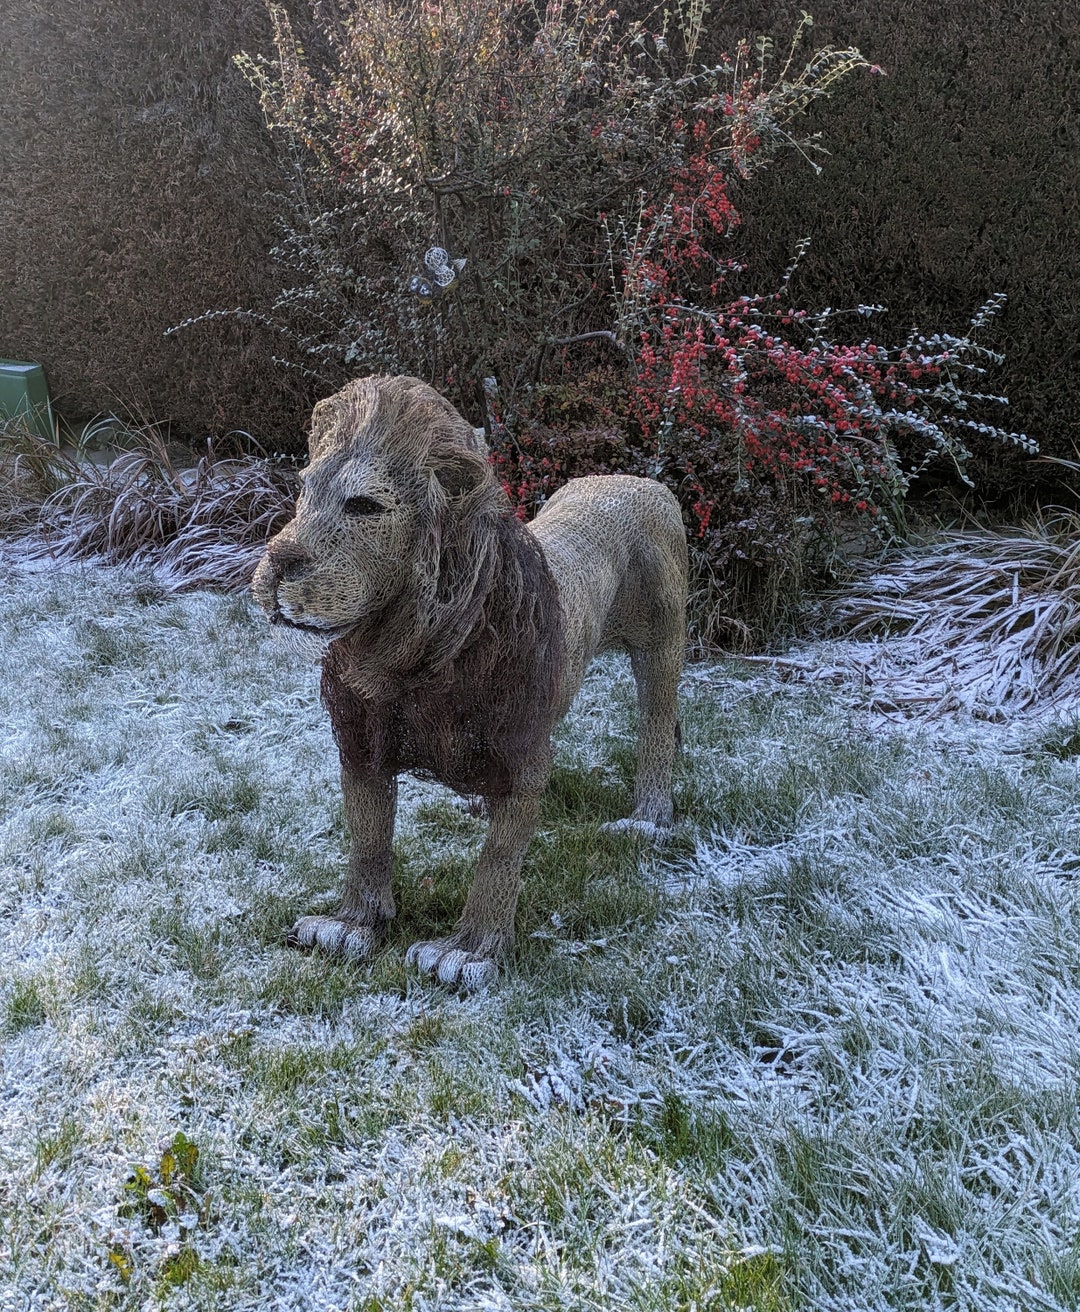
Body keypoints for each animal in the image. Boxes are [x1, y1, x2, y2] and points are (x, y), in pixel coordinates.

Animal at [252, 374, 688, 988]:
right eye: (304, 491)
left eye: (364, 506)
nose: (276, 565)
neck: (403, 655)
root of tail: (636, 480)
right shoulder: (359, 746)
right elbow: (367, 840)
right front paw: (350, 925)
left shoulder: (525, 757)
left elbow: (498, 859)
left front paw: (468, 951)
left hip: (662, 642)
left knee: (656, 725)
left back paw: (646, 821)